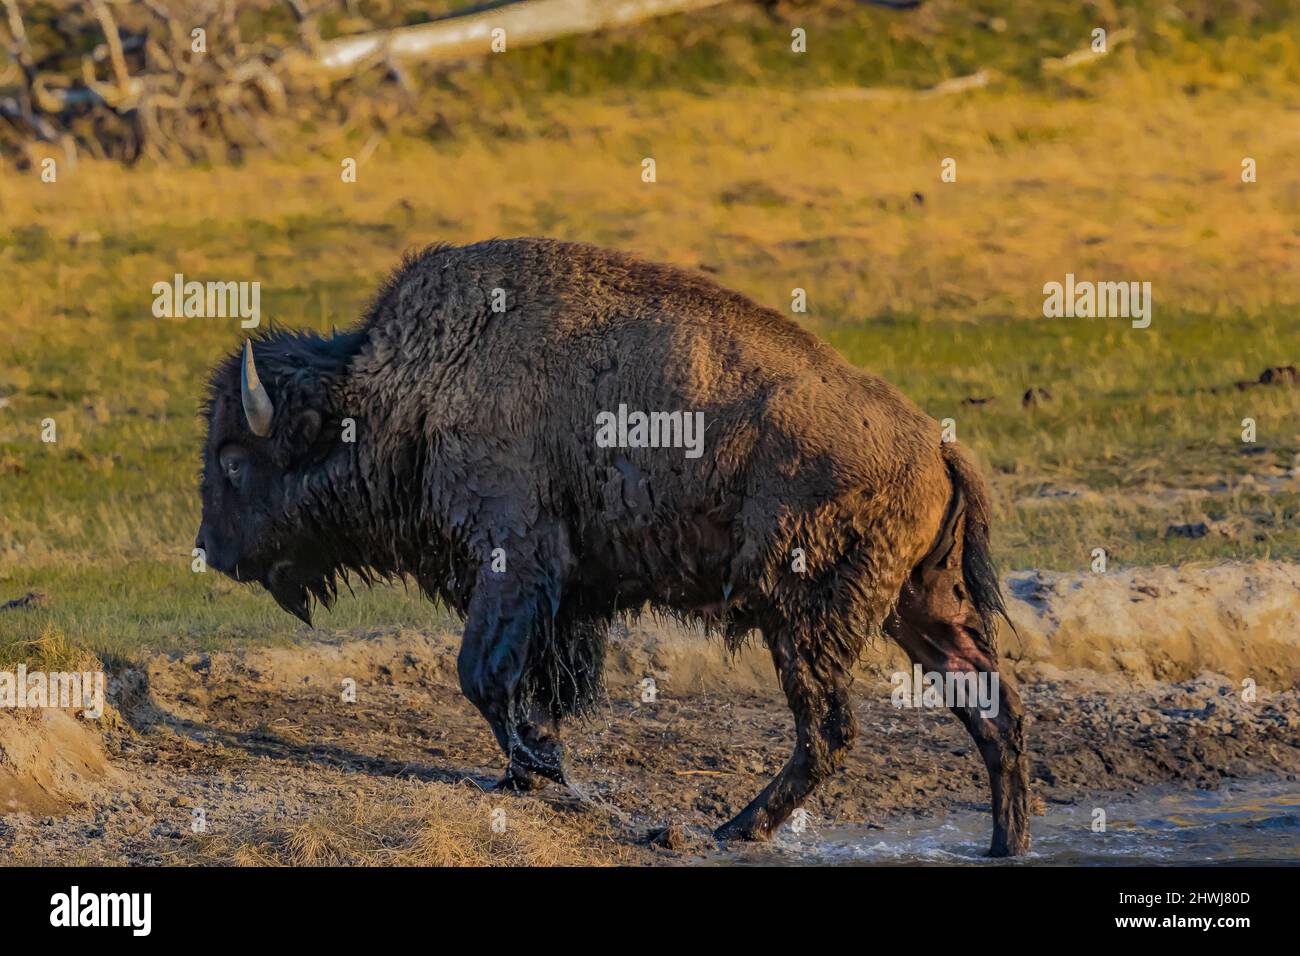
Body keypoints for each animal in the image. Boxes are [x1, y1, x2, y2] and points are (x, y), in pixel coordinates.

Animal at [196, 238, 1030, 855]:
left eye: (235, 461)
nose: (210, 549)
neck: (405, 387)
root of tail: (935, 446)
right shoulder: (566, 598)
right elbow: (539, 686)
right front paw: (530, 774)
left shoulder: (512, 564)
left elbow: (484, 676)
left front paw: (542, 775)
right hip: (922, 608)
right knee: (990, 707)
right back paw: (1004, 842)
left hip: (809, 620)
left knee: (830, 730)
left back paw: (732, 828)